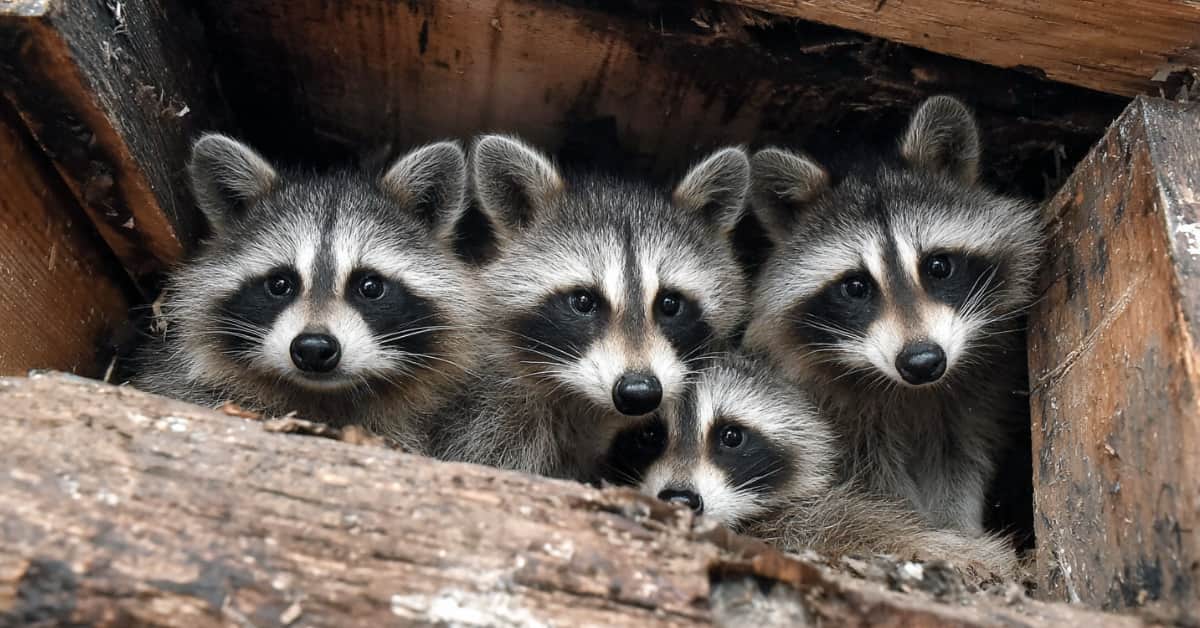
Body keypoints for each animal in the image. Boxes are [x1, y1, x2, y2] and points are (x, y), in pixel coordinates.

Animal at [743, 96, 1043, 534]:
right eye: (855, 287)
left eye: (938, 266)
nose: (922, 361)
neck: (914, 392)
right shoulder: (837, 410)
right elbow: (874, 482)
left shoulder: (976, 390)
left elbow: (959, 458)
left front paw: (956, 524)